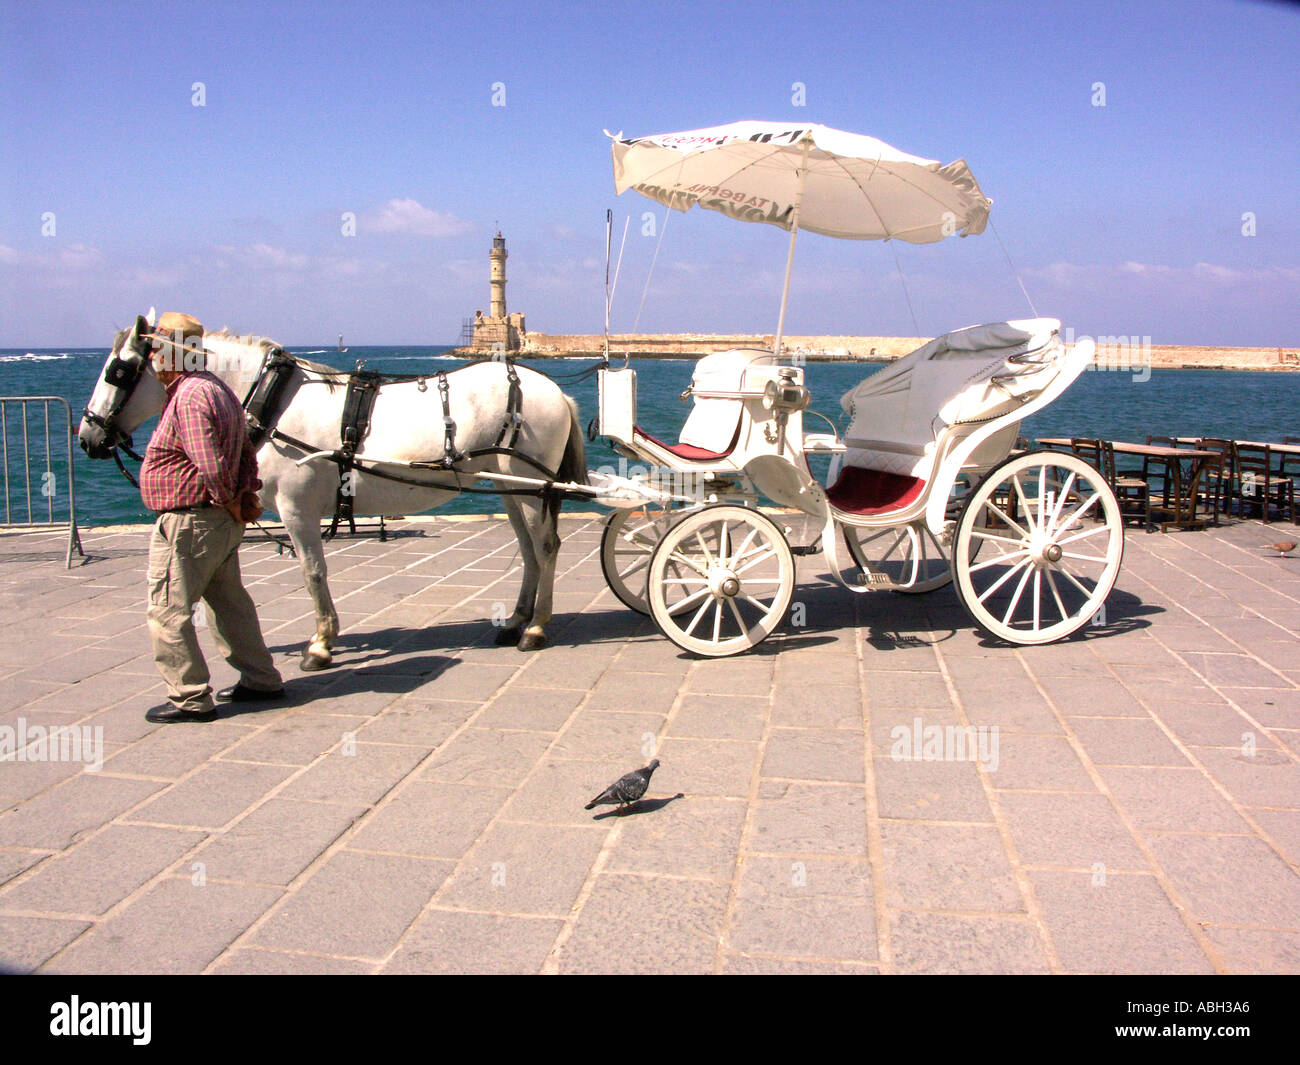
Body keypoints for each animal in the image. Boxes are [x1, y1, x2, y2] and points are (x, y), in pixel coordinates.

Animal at [79, 313, 588, 670]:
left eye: (118, 371)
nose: (88, 437)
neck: (274, 400)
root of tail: (554, 391)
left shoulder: (296, 508)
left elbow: (313, 573)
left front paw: (321, 643)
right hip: (511, 485)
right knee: (529, 549)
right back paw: (517, 620)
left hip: (530, 486)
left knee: (546, 546)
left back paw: (537, 627)